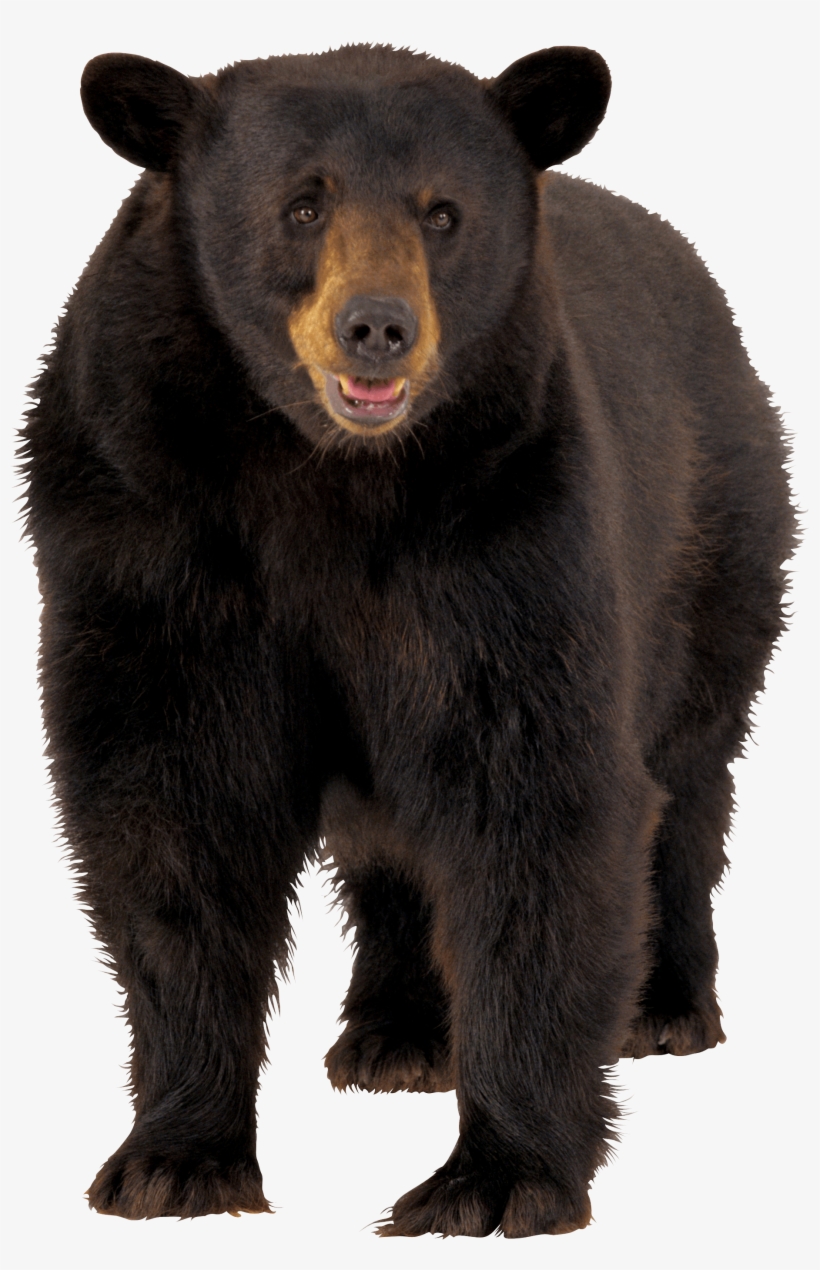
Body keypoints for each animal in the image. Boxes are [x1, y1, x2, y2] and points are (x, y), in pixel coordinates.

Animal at [21, 43, 794, 1237]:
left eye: (443, 213)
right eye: (301, 204)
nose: (376, 325)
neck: (322, 475)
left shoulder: (509, 524)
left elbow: (538, 796)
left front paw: (495, 1175)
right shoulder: (142, 526)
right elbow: (173, 813)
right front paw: (174, 1160)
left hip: (714, 540)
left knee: (689, 769)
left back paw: (664, 1003)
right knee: (389, 835)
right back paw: (398, 1034)